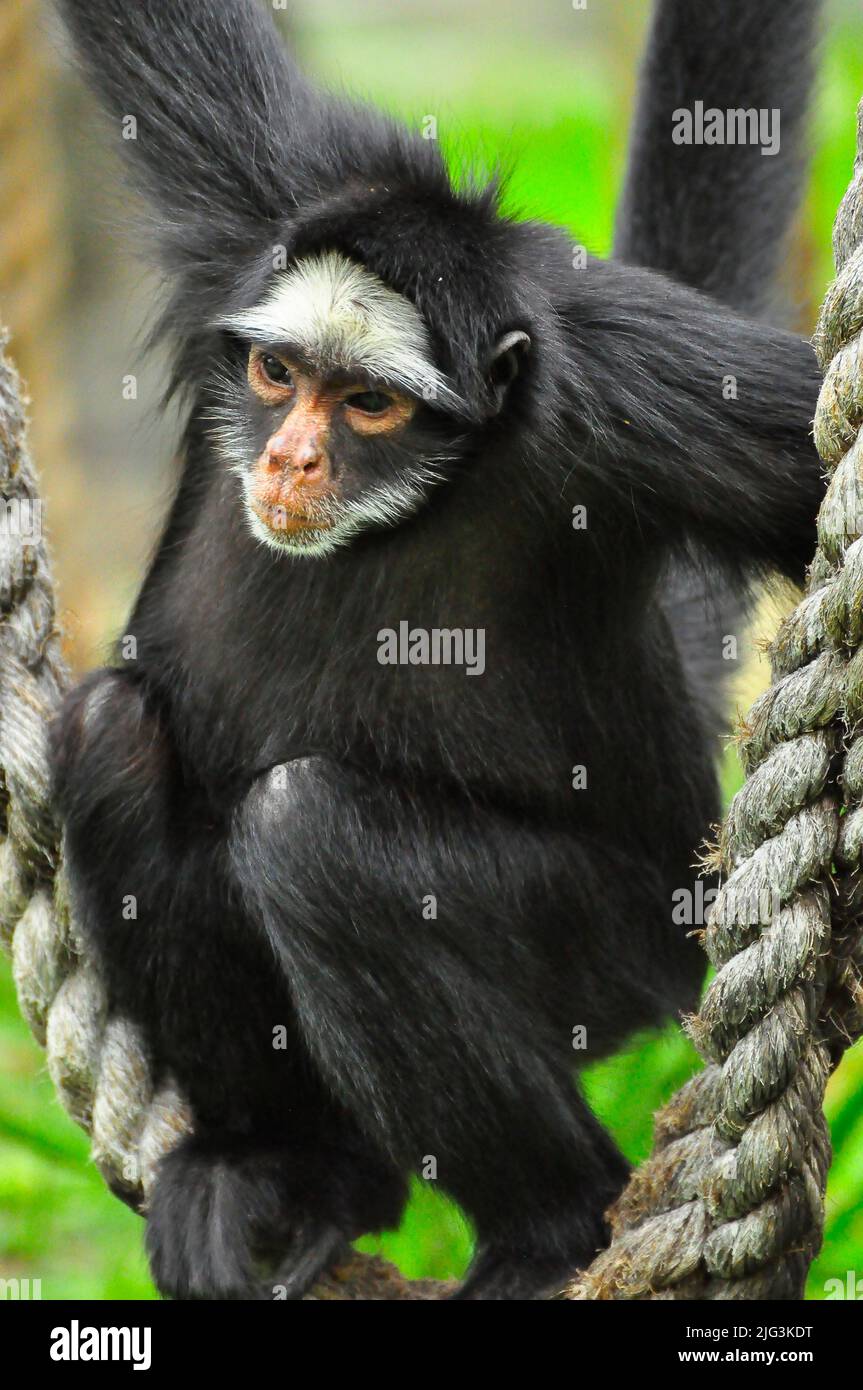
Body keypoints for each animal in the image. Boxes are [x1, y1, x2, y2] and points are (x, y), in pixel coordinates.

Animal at [51, 0, 826, 1299]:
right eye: (276, 375)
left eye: (366, 404)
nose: (289, 458)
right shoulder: (264, 210)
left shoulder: (625, 383)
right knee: (115, 734)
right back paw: (294, 1169)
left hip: (627, 949)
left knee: (311, 830)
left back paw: (549, 1231)